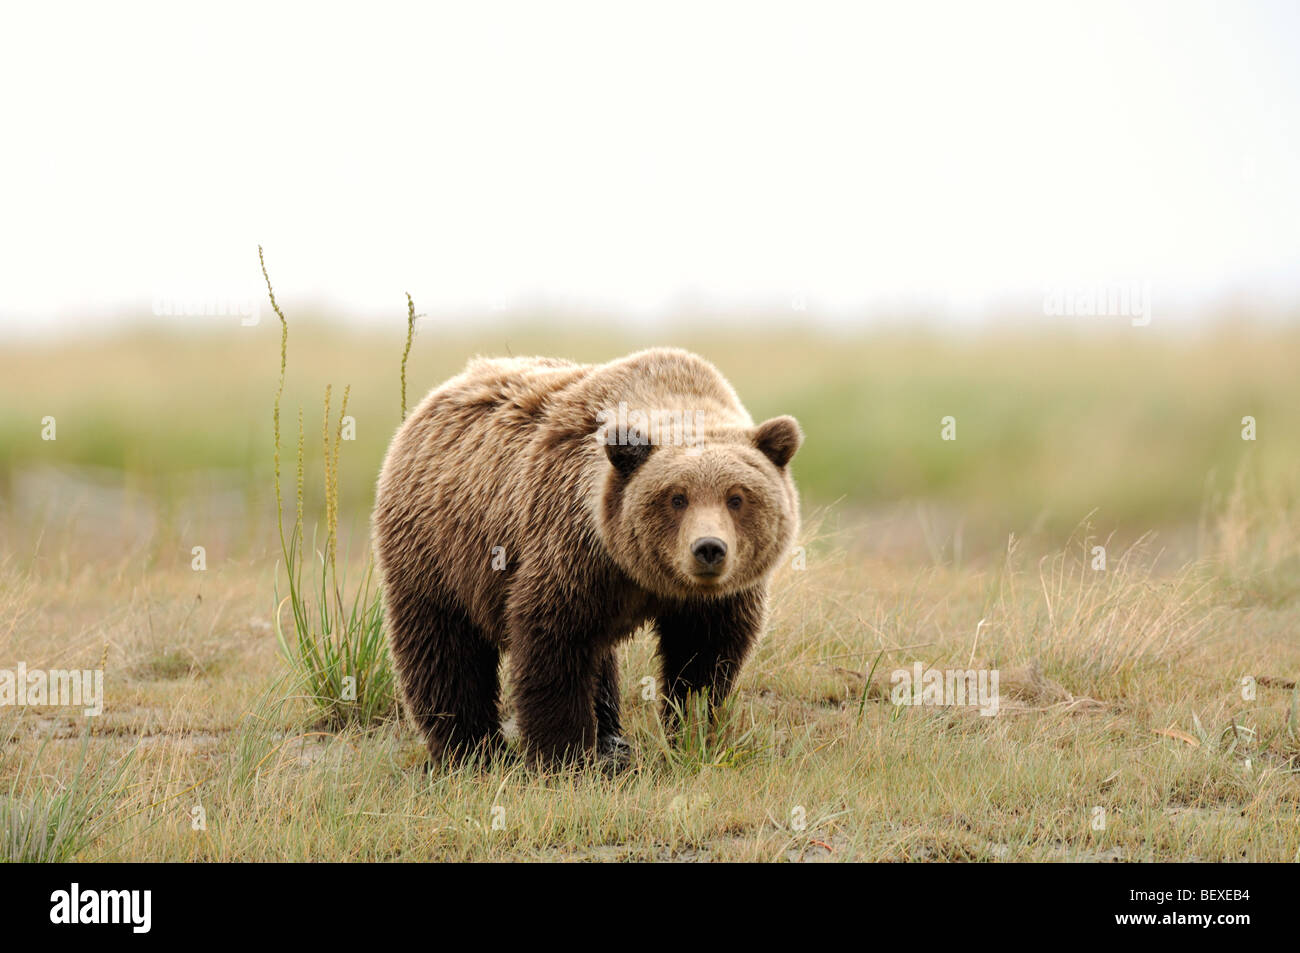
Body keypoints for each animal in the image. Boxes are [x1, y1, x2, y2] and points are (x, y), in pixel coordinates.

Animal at [371, 347, 802, 769]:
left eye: (737, 497)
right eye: (676, 497)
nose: (709, 548)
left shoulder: (713, 599)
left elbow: (703, 659)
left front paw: (692, 730)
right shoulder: (570, 548)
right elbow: (552, 646)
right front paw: (566, 756)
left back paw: (612, 740)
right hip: (437, 553)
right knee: (443, 650)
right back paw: (472, 750)